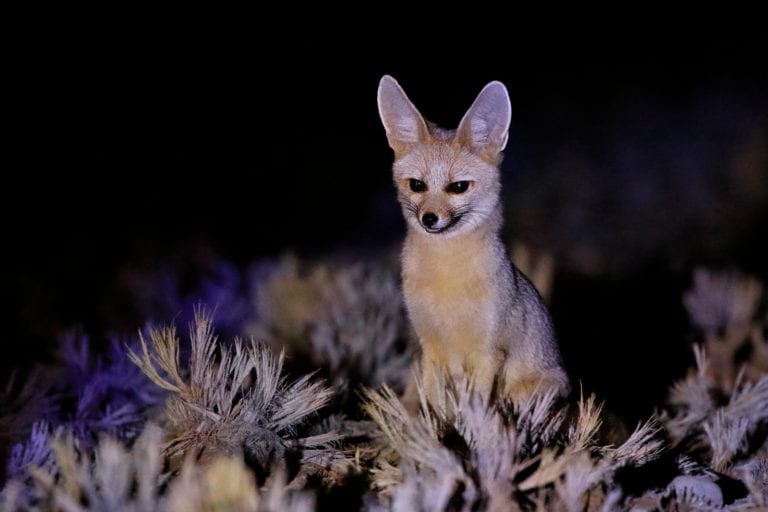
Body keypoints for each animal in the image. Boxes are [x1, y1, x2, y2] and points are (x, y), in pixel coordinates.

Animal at [377, 75, 570, 404]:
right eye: (417, 185)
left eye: (458, 187)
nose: (429, 219)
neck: (446, 281)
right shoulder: (430, 351)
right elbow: (434, 407)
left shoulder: (489, 354)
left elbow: (476, 408)